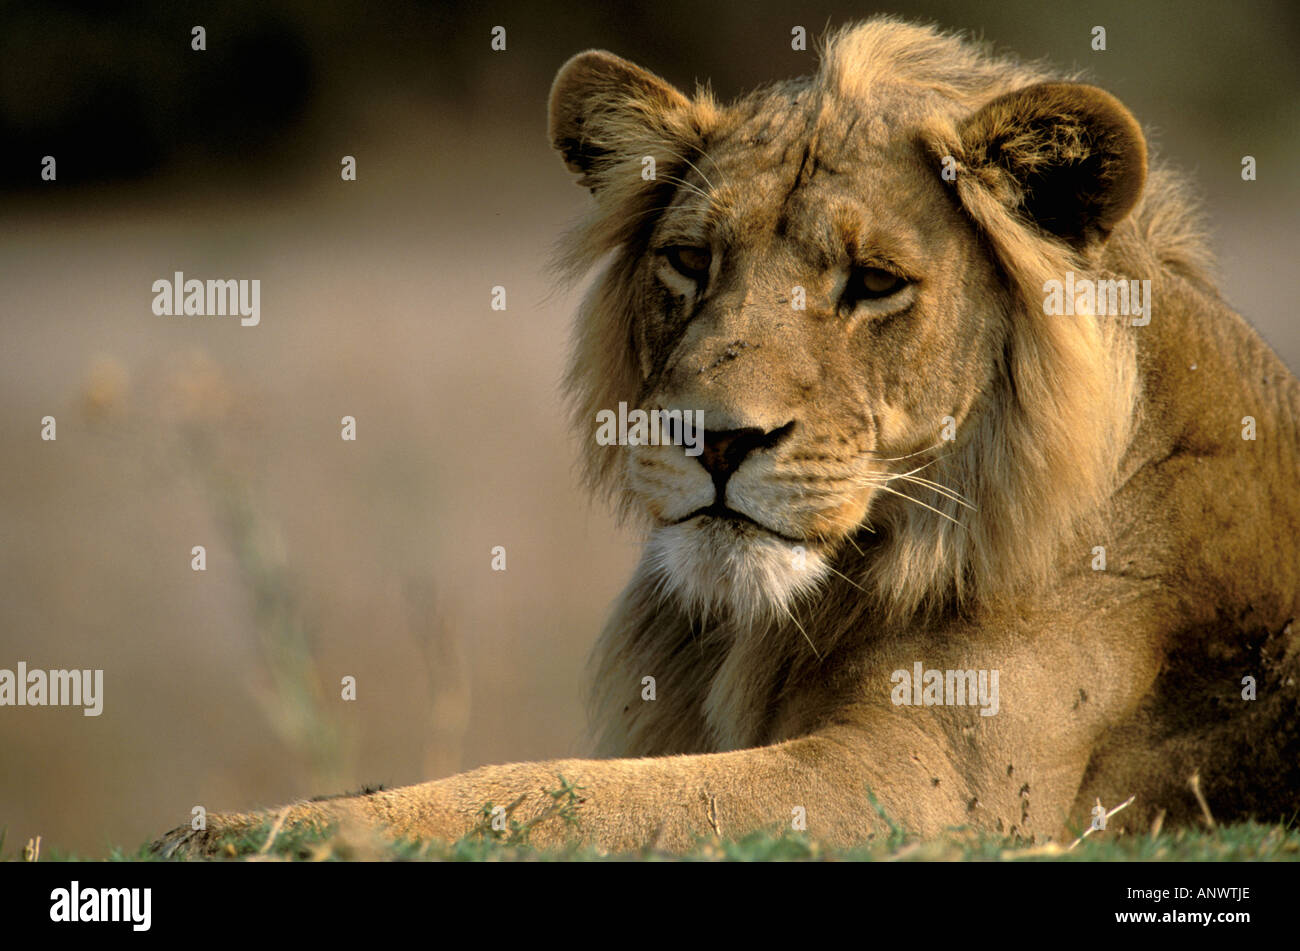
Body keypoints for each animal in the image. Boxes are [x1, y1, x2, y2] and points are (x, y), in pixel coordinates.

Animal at [155, 17, 1300, 857]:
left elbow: (564, 799)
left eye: (872, 283)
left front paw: (261, 831)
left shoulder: (940, 790)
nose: (712, 439)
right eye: (690, 262)